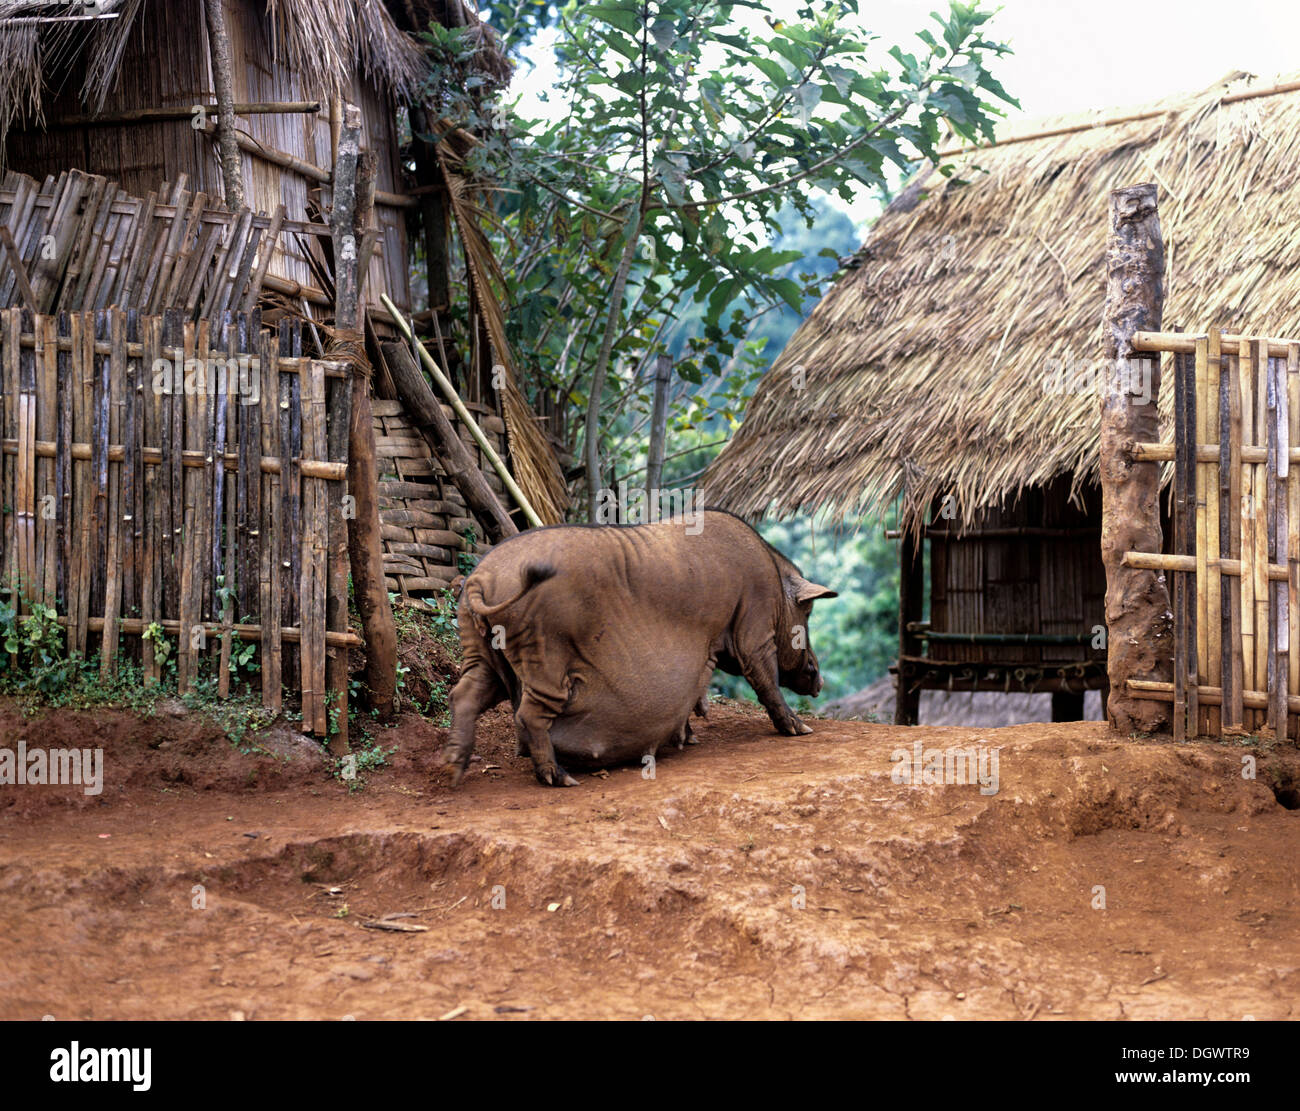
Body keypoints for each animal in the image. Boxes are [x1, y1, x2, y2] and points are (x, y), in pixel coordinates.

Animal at [443, 510, 837, 787]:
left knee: (463, 694)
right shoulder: (753, 629)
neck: (775, 583)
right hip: (544, 650)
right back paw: (561, 779)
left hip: (479, 650)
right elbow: (765, 680)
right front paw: (802, 730)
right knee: (528, 713)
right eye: (808, 612)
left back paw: (453, 770)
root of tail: (480, 578)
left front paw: (691, 740)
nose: (820, 680)